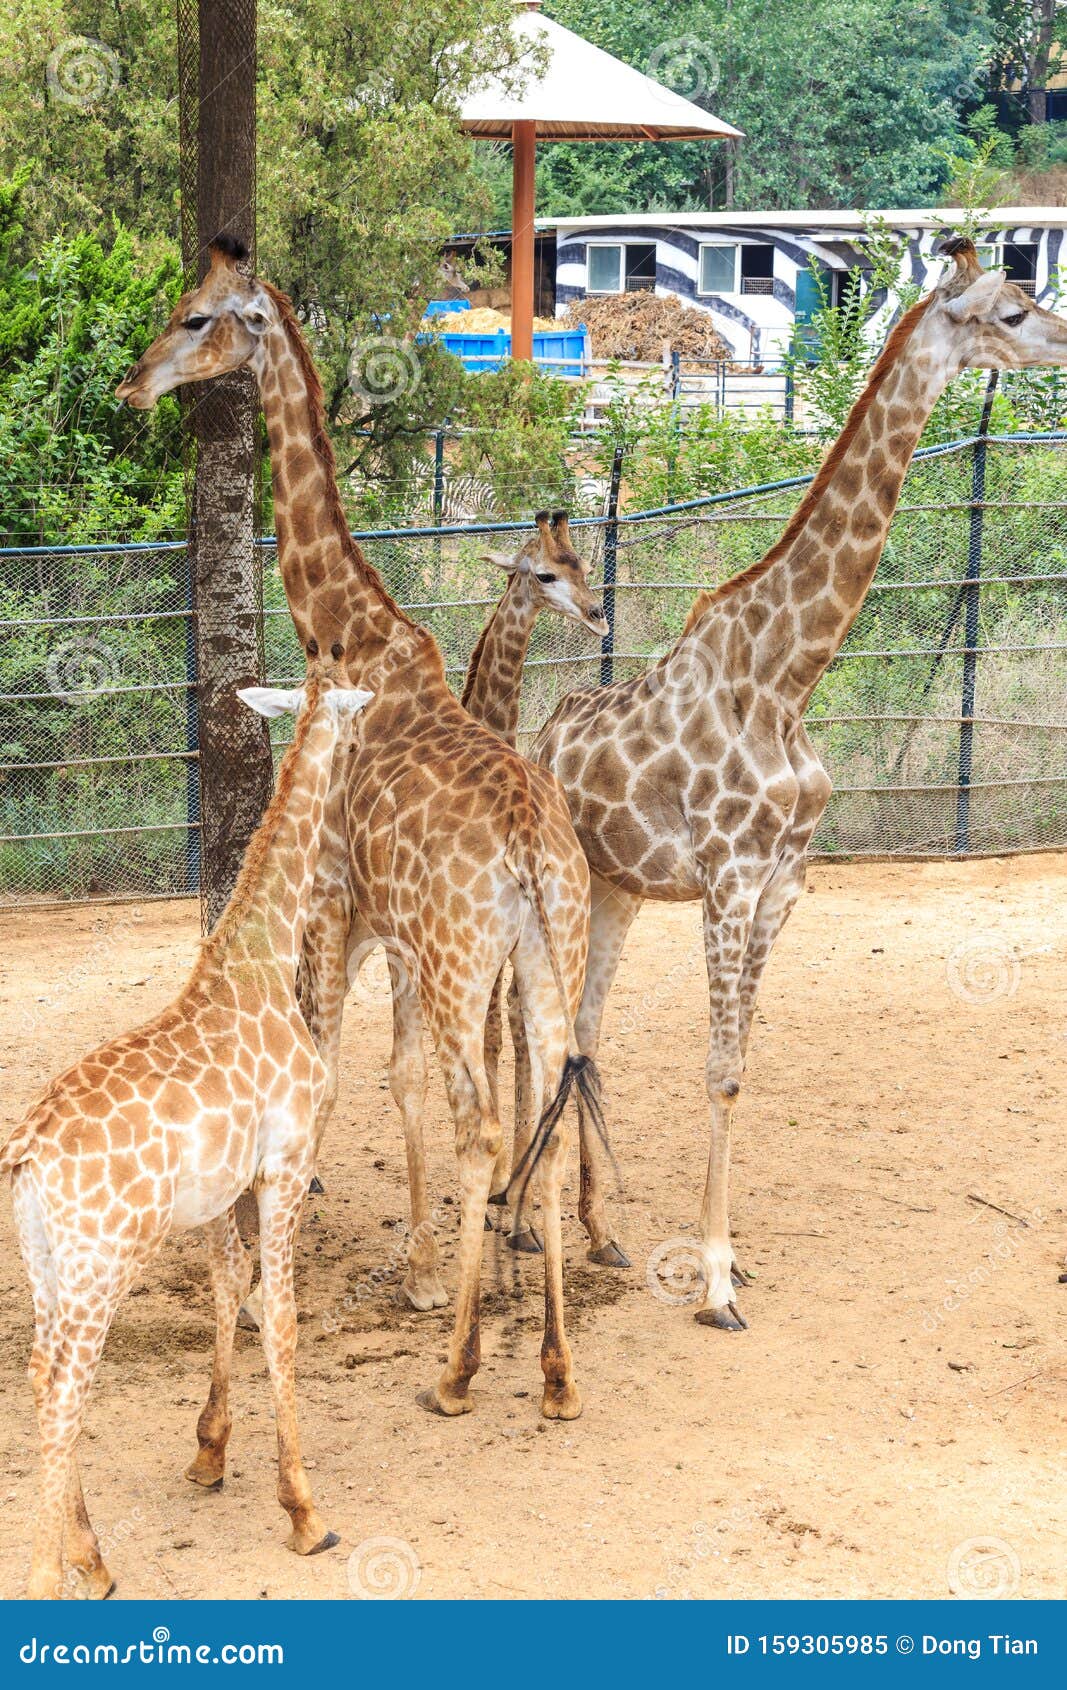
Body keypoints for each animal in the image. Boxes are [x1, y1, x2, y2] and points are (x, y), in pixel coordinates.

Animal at [3, 679, 372, 1599]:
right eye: (351, 713)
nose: (364, 749)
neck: (262, 963)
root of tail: (26, 1153)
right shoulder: (285, 1168)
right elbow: (280, 1320)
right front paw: (304, 1515)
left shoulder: (220, 1190)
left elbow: (226, 1293)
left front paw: (210, 1455)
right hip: (104, 1259)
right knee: (65, 1389)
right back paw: (53, 1575)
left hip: (45, 1259)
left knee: (38, 1374)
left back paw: (92, 1558)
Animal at [116, 236, 603, 1421]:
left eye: (197, 316)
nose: (133, 384)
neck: (345, 626)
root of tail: (532, 852)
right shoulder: (383, 927)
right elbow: (392, 1076)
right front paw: (419, 1267)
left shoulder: (335, 902)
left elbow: (339, 1071)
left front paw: (273, 1283)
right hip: (543, 954)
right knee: (547, 1098)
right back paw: (555, 1369)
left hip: (460, 955)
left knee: (486, 1117)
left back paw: (461, 1371)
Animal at [529, 237, 1067, 1328]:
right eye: (1009, 308)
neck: (788, 674)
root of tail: (532, 736)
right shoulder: (729, 881)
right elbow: (719, 1071)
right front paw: (714, 1284)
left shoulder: (781, 884)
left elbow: (741, 1065)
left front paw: (722, 1262)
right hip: (545, 886)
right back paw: (517, 1224)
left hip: (612, 888)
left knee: (584, 1031)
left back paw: (594, 1231)